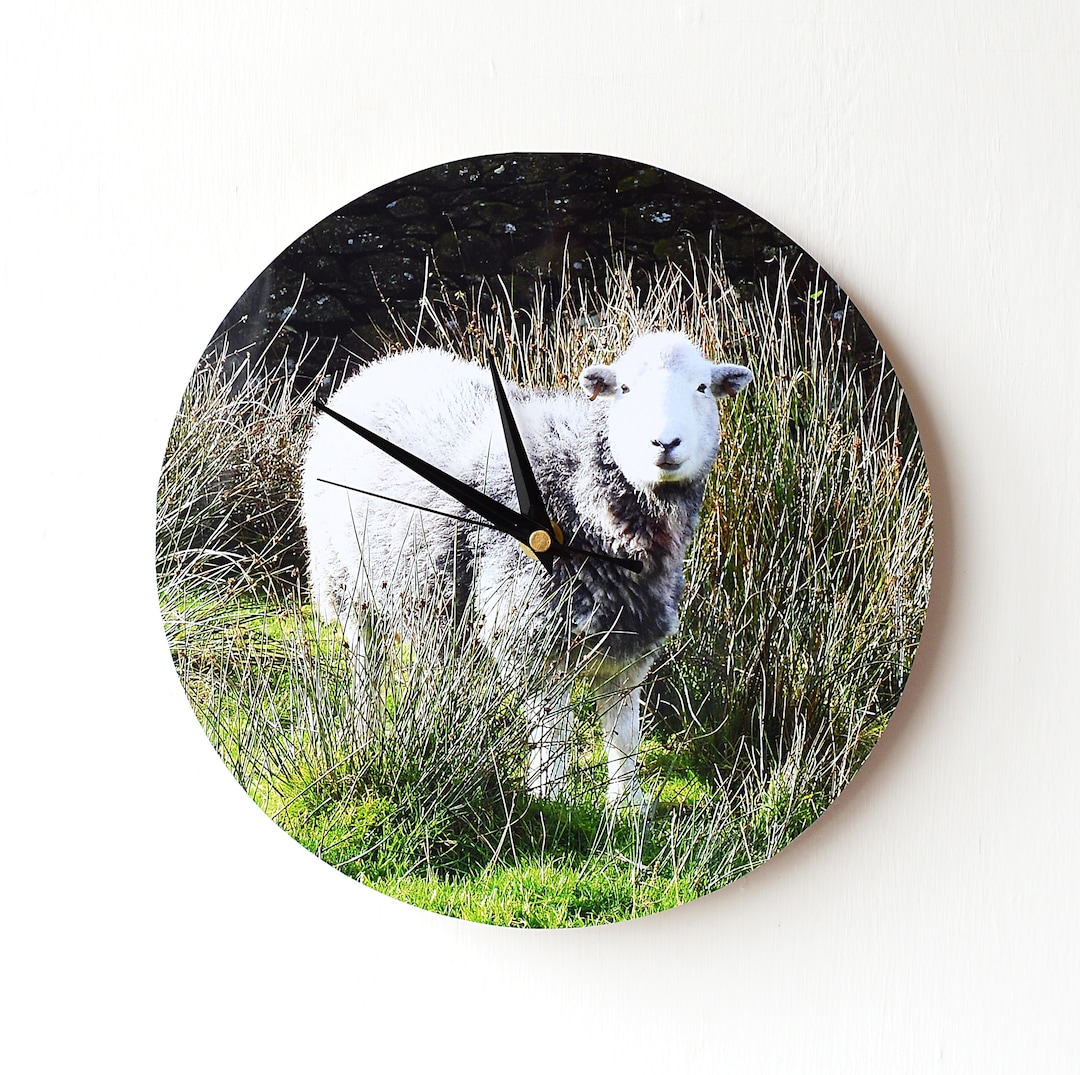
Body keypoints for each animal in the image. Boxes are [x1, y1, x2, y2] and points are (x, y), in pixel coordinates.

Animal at [301, 331, 753, 808]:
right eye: (625, 389)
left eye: (702, 388)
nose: (664, 444)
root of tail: (383, 366)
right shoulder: (533, 638)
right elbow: (554, 730)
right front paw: (550, 798)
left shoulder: (632, 642)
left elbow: (624, 731)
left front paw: (627, 802)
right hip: (346, 583)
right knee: (366, 664)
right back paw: (365, 732)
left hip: (431, 598)